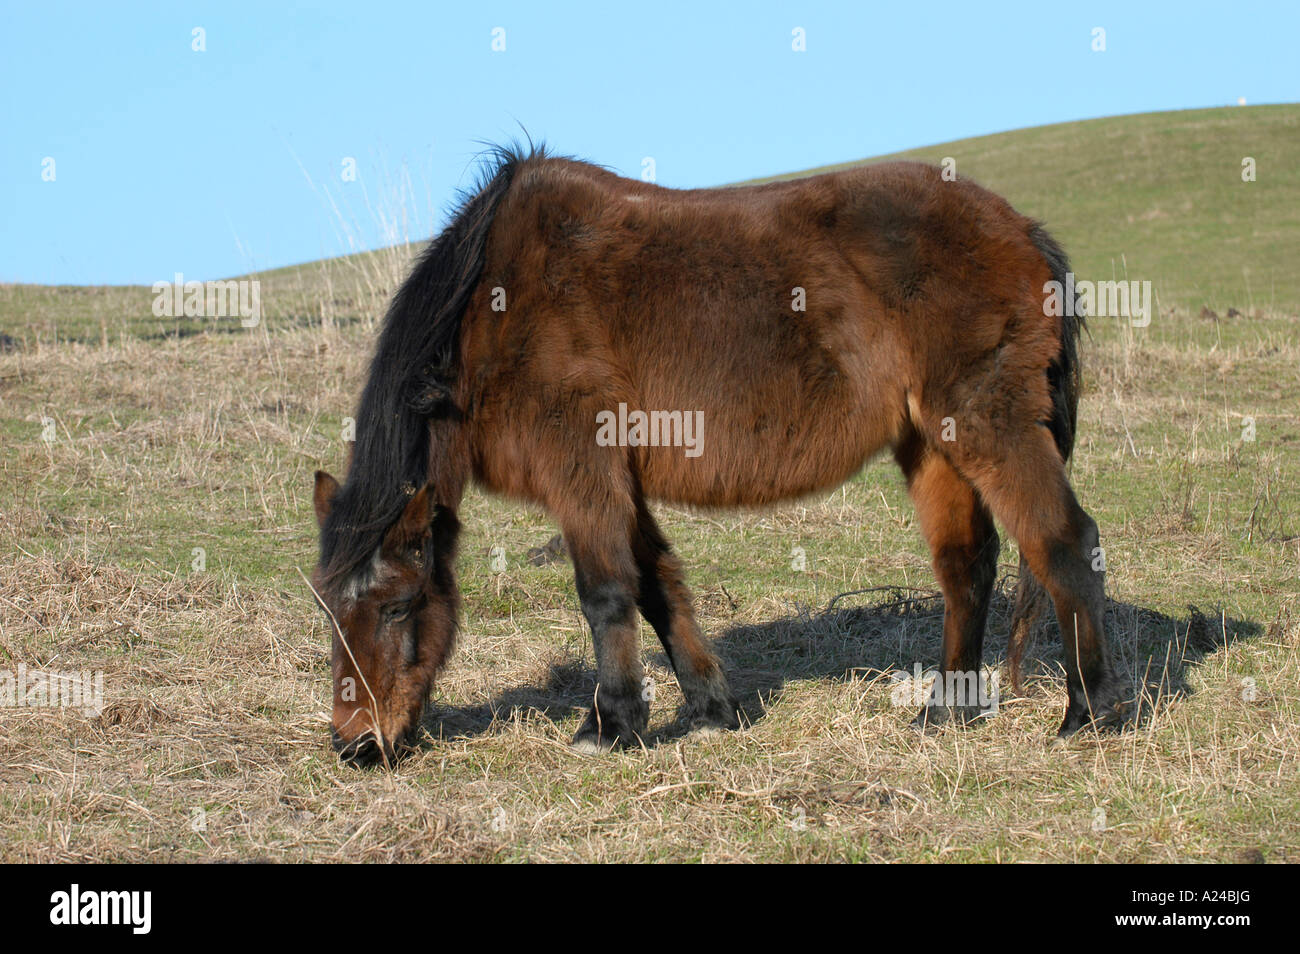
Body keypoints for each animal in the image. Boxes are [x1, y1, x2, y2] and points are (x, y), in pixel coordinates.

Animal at [309, 144, 1129, 766]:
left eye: (398, 605)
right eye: (329, 609)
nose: (357, 746)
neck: (495, 305)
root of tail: (1020, 228)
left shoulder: (582, 471)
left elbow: (606, 592)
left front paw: (611, 725)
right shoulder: (621, 482)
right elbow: (658, 587)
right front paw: (711, 708)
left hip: (989, 424)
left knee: (1064, 542)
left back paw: (1090, 713)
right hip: (931, 442)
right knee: (968, 567)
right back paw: (945, 711)